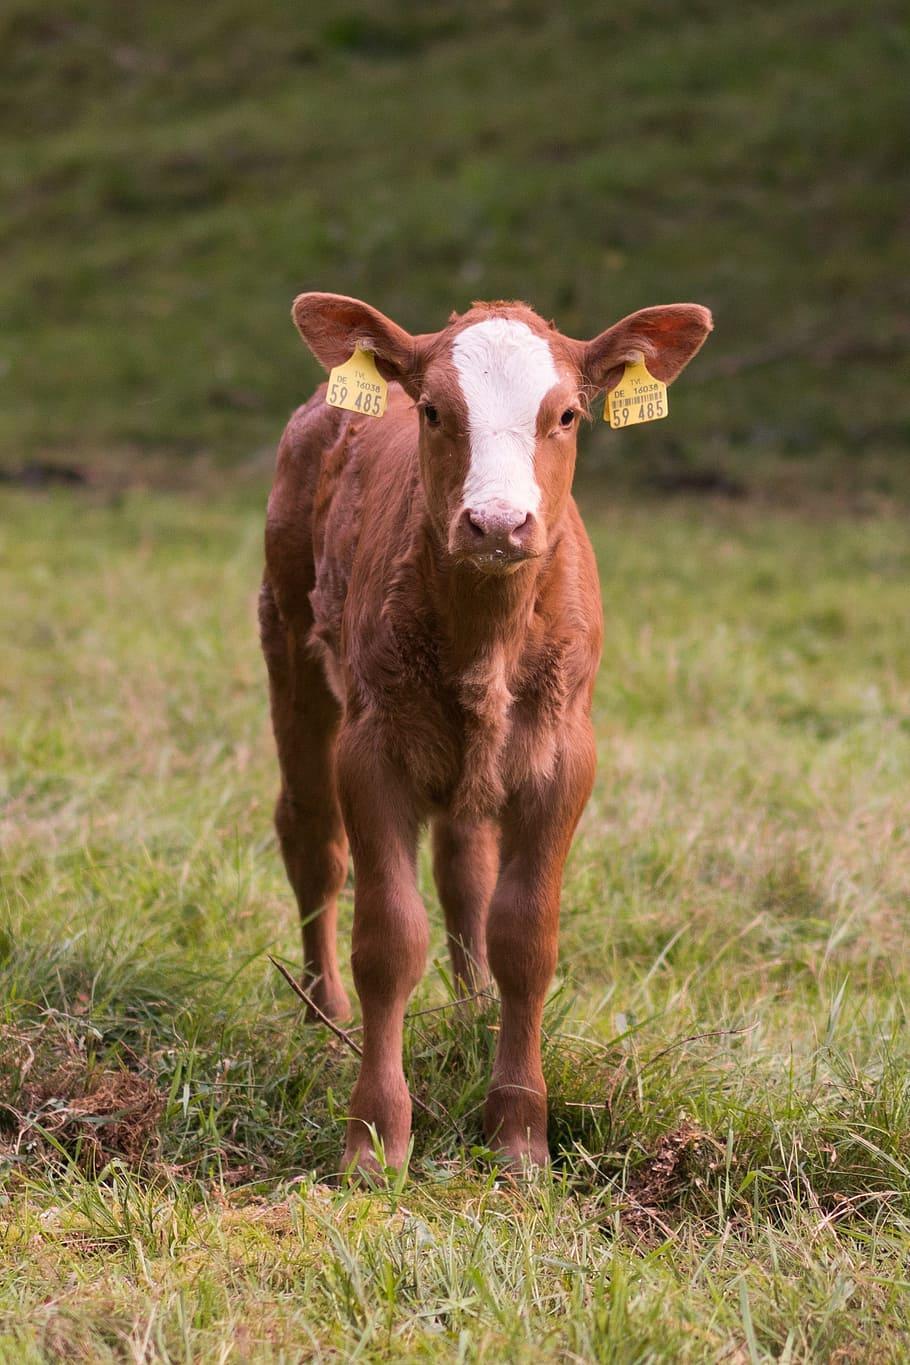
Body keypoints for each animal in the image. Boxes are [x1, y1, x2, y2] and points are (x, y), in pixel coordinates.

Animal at [260, 293, 712, 1173]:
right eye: (435, 411)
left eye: (567, 414)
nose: (498, 522)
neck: (488, 636)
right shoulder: (371, 749)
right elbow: (389, 939)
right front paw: (375, 1137)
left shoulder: (567, 754)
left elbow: (525, 937)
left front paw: (519, 1131)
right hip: (289, 638)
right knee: (311, 837)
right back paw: (322, 1019)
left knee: (464, 866)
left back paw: (469, 1012)